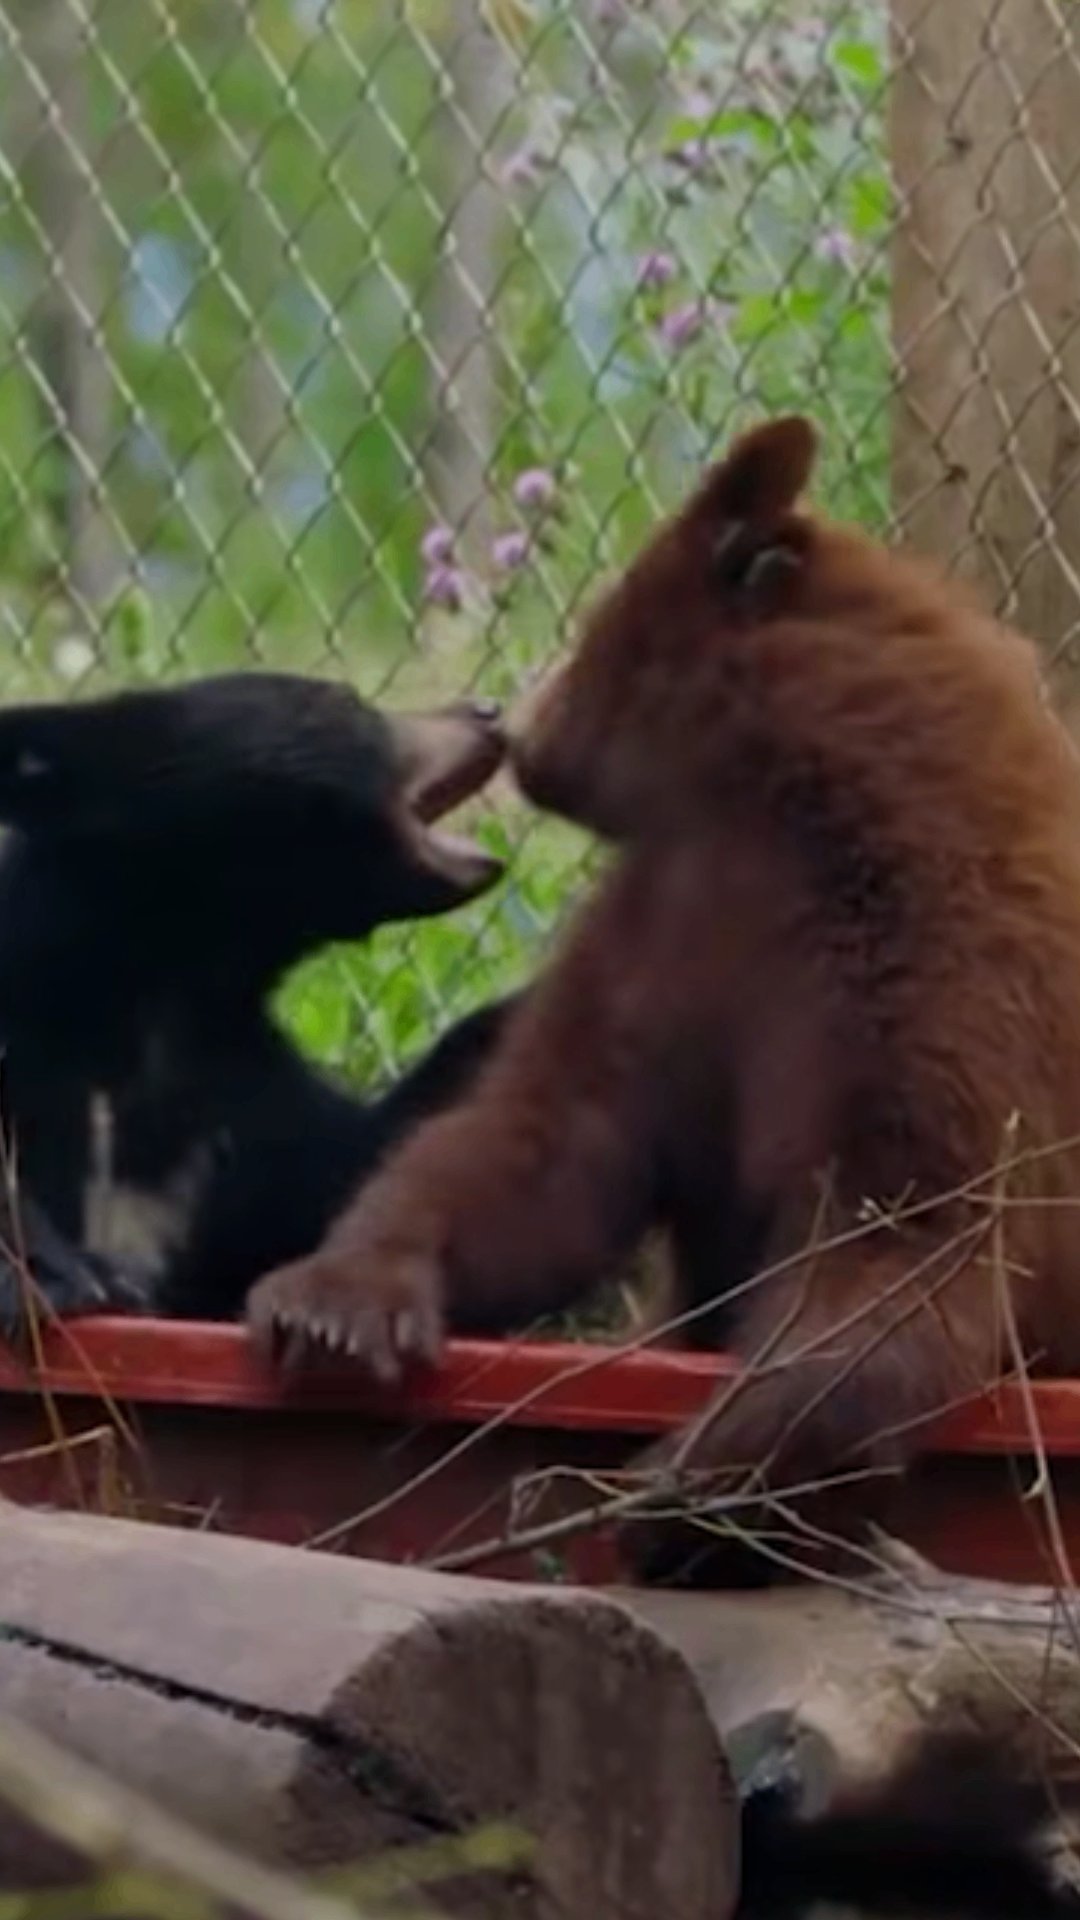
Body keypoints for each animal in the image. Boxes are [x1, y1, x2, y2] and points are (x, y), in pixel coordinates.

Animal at [244, 417, 1080, 1585]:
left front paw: (690, 1494)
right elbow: (548, 1140)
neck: (783, 792)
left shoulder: (946, 956)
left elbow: (908, 1232)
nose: (515, 703)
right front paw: (338, 1304)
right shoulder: (665, 930)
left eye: (597, 611)